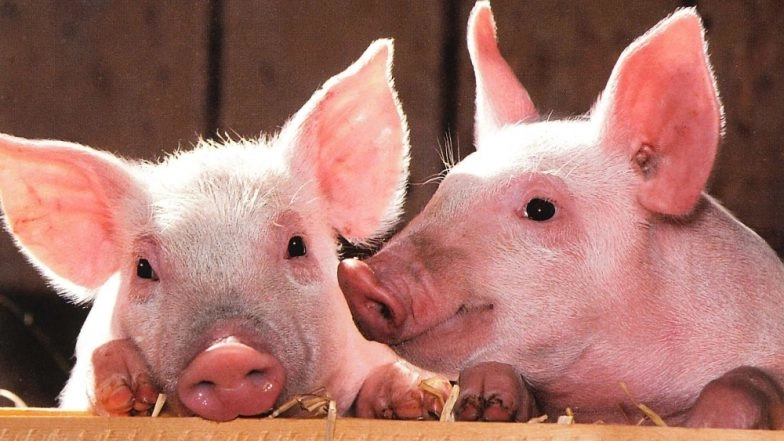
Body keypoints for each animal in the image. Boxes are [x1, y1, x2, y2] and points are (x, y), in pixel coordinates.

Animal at [338, 3, 784, 429]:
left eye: (540, 208)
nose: (357, 274)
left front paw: (708, 422)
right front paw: (484, 399)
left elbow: (747, 381)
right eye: (446, 190)